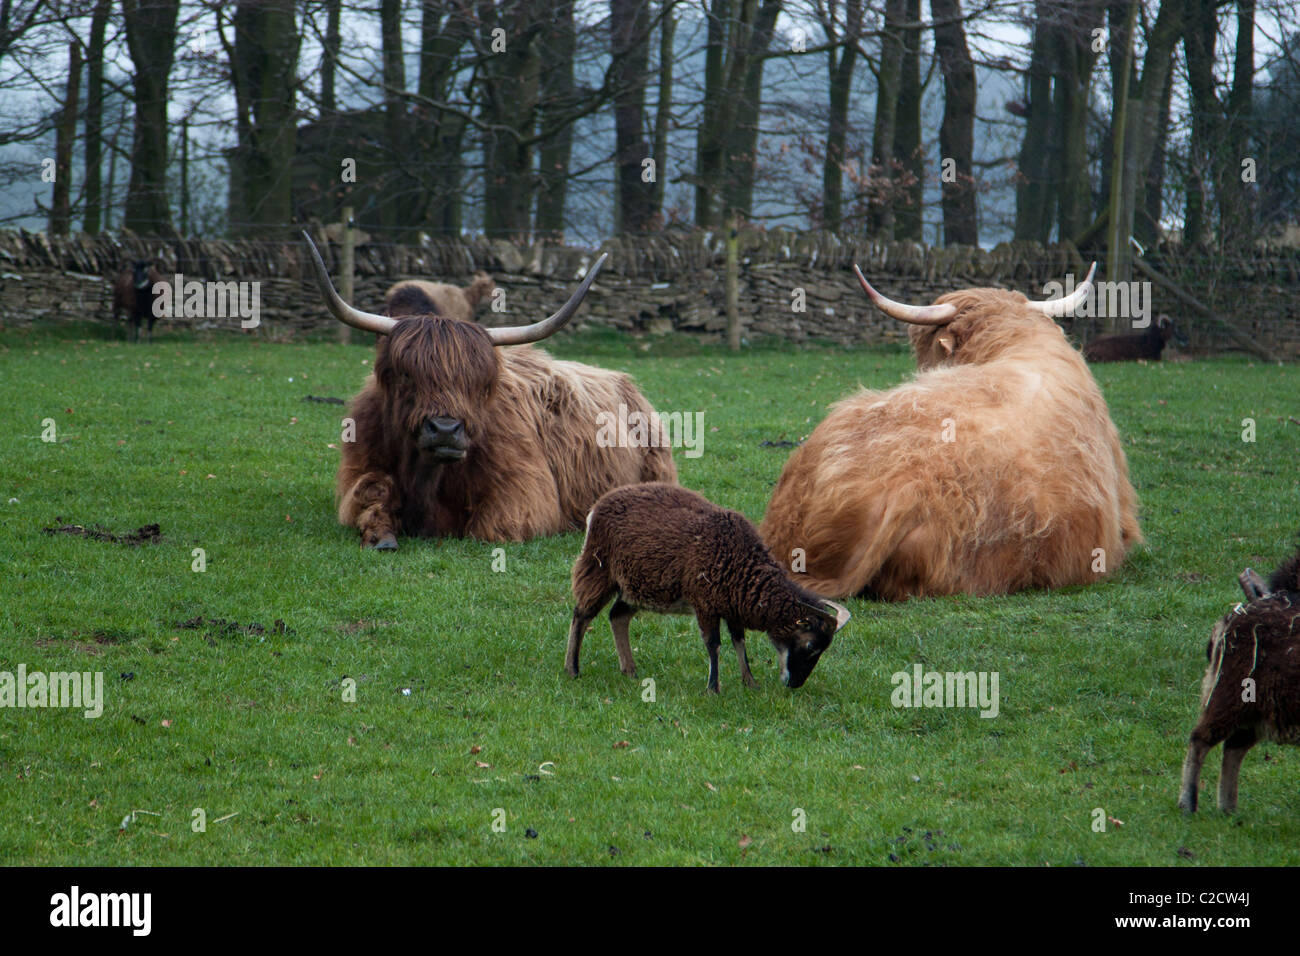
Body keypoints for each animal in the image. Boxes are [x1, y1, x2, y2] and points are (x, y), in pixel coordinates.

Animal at [302, 234, 677, 549]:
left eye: (481, 382)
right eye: (407, 375)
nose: (446, 429)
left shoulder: (525, 491)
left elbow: (489, 529)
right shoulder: (360, 462)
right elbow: (371, 492)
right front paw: (381, 535)